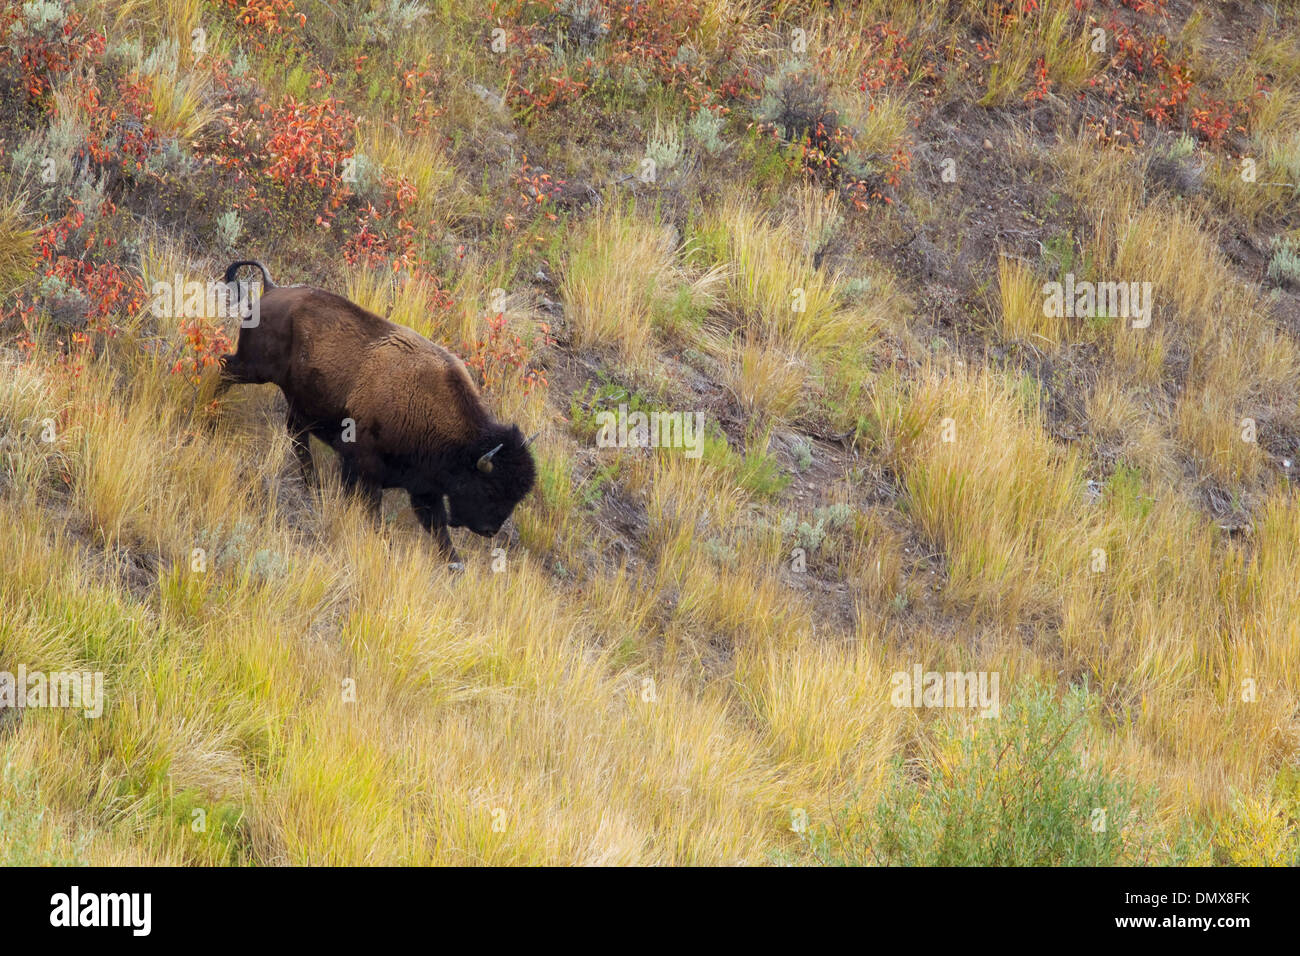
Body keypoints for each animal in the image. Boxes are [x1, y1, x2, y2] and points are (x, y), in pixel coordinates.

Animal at [216, 260, 536, 564]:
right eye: (490, 488)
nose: (490, 530)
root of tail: (271, 290)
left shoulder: (423, 487)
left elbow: (436, 527)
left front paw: (454, 562)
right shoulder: (364, 465)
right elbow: (373, 508)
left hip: (298, 401)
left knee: (297, 435)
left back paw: (313, 483)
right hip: (254, 369)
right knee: (225, 370)